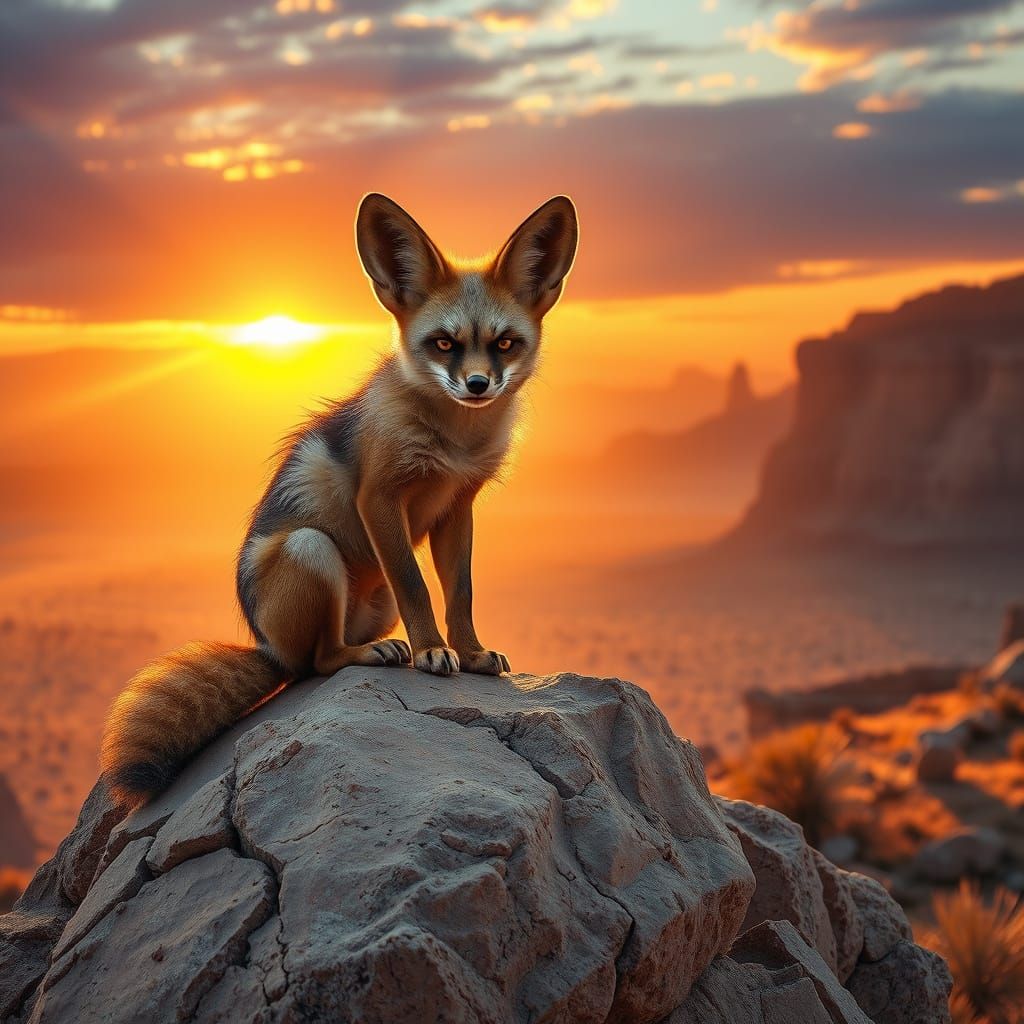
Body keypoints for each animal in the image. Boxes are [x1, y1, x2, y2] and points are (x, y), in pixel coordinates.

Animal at [99, 192, 579, 809]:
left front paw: (470, 654)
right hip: (311, 550)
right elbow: (418, 586)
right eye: (443, 343)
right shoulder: (379, 499)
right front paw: (432, 653)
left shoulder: (457, 508)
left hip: (374, 604)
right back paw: (371, 656)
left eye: (504, 343)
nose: (477, 386)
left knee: (323, 655)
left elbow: (460, 594)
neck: (452, 443)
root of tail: (267, 645)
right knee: (318, 663)